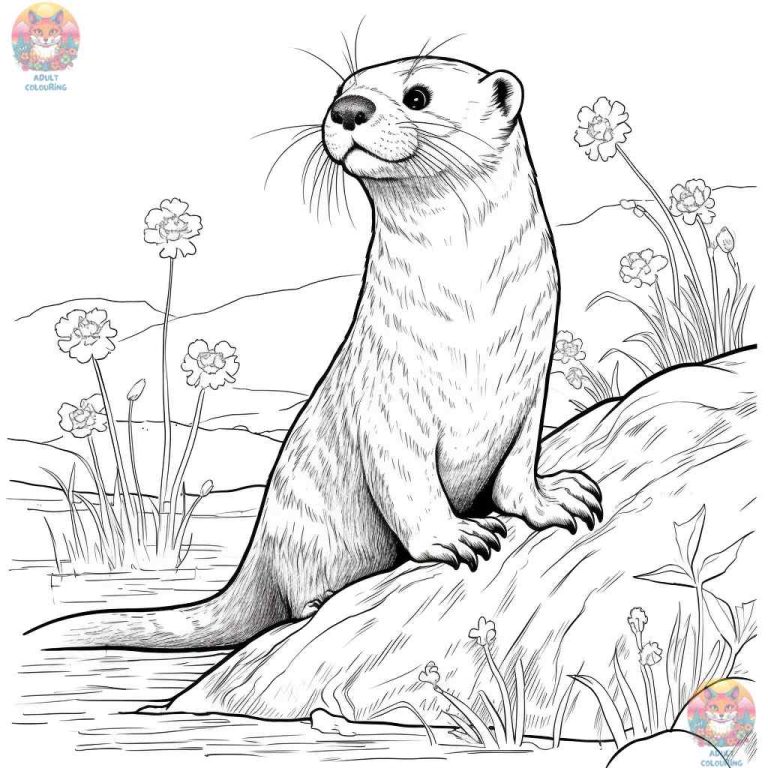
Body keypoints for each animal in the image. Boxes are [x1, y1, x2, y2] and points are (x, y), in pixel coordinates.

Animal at [29, 56, 602, 651]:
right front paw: (454, 537)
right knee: (295, 595)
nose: (349, 109)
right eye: (342, 90)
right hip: (305, 533)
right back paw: (320, 599)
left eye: (418, 95)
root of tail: (258, 551)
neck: (473, 320)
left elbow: (517, 471)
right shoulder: (388, 402)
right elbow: (409, 486)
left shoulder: (528, 385)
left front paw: (555, 499)